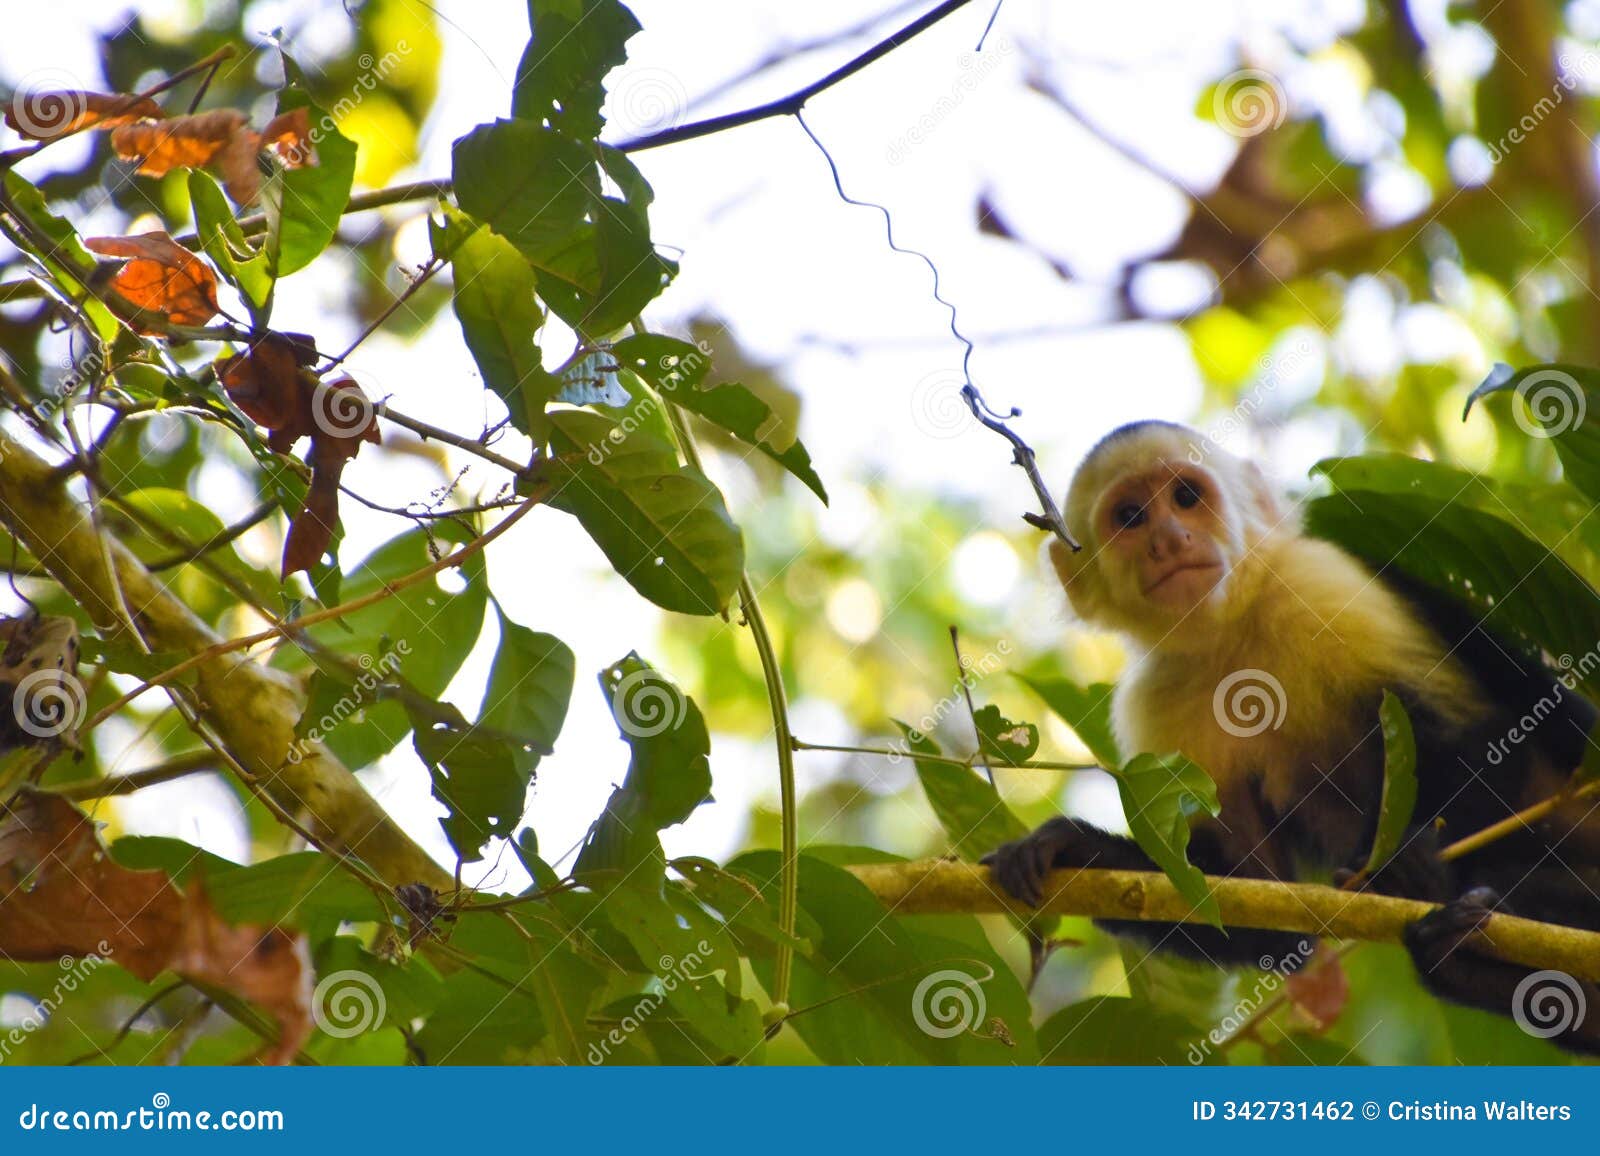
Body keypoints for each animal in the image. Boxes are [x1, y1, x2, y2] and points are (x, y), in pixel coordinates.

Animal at [984, 420, 1600, 1053]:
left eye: (1186, 497)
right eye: (1130, 517)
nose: (1170, 540)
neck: (1229, 631)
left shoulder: (1322, 582)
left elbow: (1494, 734)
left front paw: (1402, 866)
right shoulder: (1155, 707)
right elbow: (1253, 904)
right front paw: (1075, 849)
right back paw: (1466, 962)